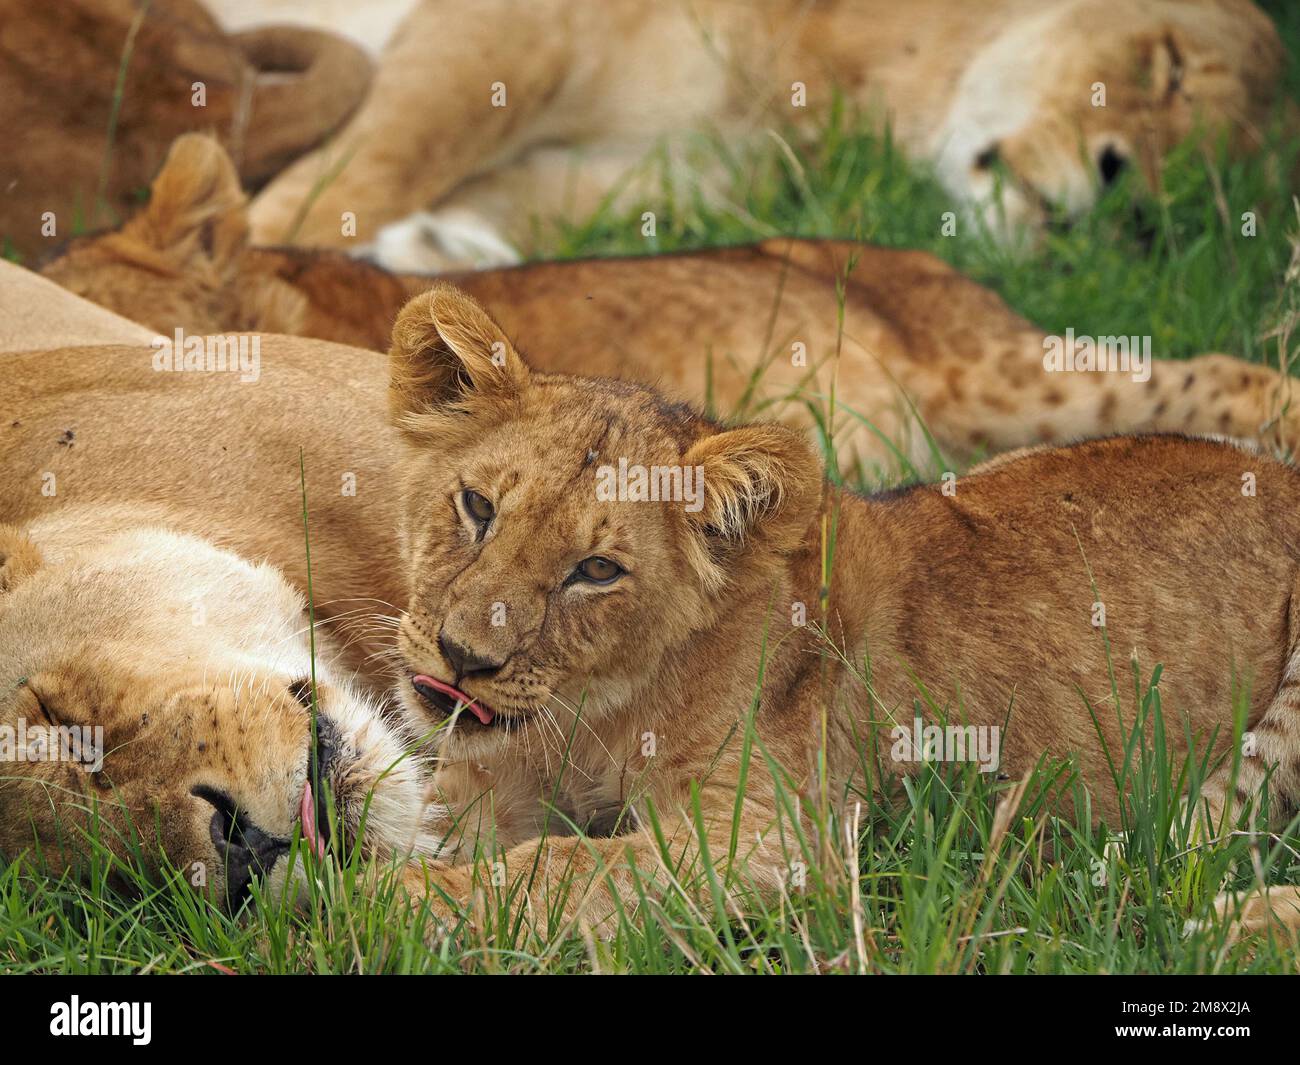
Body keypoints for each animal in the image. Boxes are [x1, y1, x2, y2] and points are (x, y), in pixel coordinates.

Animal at [239, 0, 1291, 267]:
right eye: (1168, 66)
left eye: (1165, 229)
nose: (1124, 193)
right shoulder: (522, 28)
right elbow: (373, 167)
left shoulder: (669, 174)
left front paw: (430, 254)